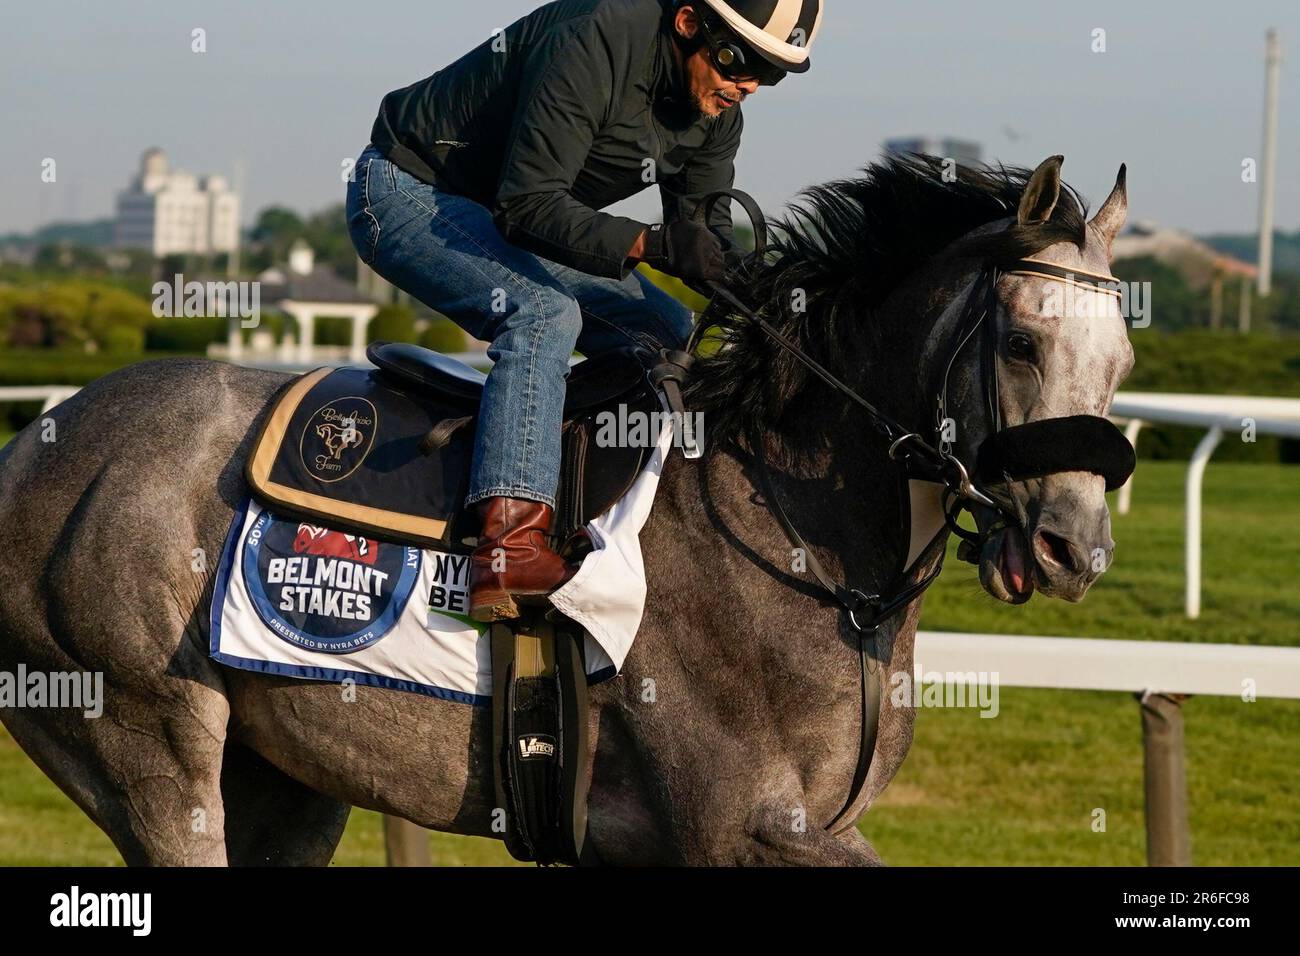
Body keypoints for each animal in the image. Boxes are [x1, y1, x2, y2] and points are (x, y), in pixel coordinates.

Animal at [0, 153, 1131, 865]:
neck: (798, 547)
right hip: (142, 731)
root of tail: (34, 443)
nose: (1073, 547)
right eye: (1022, 341)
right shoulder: (737, 825)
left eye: (1122, 358)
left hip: (286, 773)